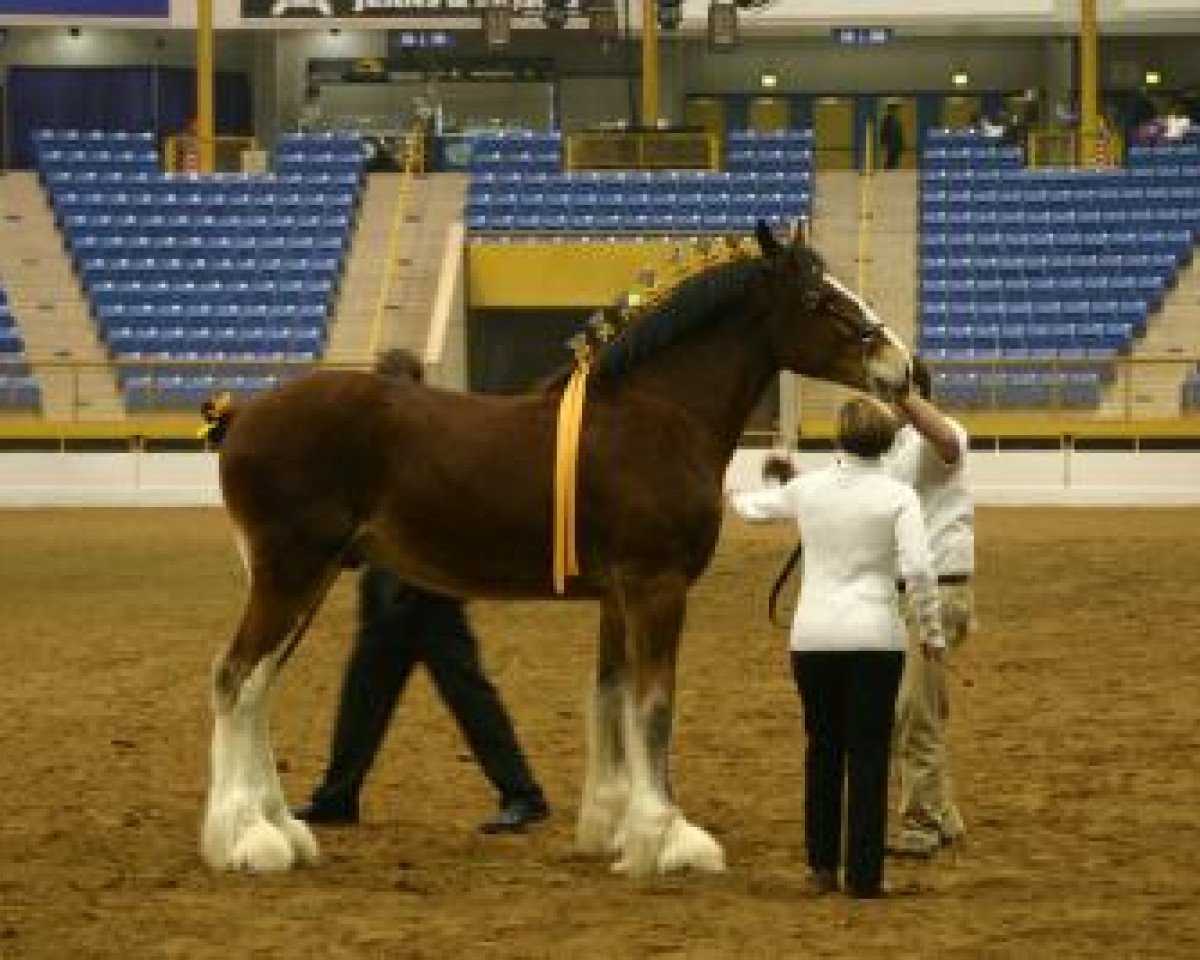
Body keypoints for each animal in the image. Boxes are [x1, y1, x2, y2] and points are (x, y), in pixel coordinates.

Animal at [200, 222, 912, 877]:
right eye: (819, 297)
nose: (904, 369)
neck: (659, 415)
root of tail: (241, 415)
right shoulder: (657, 587)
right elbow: (654, 705)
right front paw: (670, 837)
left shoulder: (620, 595)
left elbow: (612, 694)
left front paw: (617, 829)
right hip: (289, 576)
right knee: (236, 679)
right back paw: (248, 840)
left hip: (308, 580)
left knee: (256, 688)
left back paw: (280, 831)